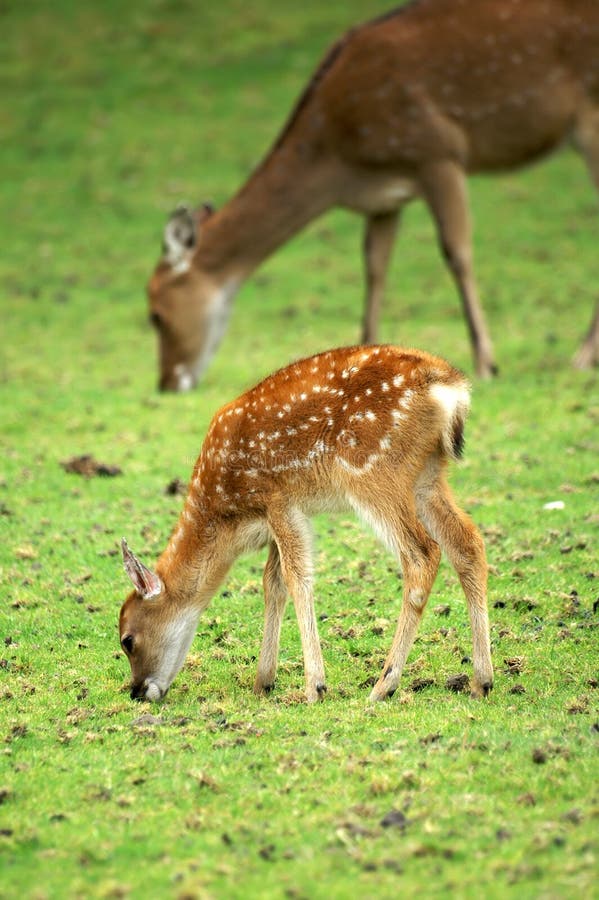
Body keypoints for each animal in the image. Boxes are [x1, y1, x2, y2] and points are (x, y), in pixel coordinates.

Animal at [119, 344, 493, 704]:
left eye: (127, 640)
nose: (137, 691)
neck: (228, 517)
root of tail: (452, 390)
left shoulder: (278, 498)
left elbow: (296, 579)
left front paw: (314, 687)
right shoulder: (281, 514)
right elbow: (272, 584)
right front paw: (263, 682)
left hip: (374, 470)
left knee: (422, 553)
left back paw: (383, 686)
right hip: (427, 475)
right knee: (468, 542)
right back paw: (481, 682)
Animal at [147, 0, 599, 391]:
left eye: (155, 314)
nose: (167, 383)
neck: (340, 159)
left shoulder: (437, 151)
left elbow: (457, 252)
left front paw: (487, 363)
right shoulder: (384, 198)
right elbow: (375, 266)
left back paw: (582, 356)